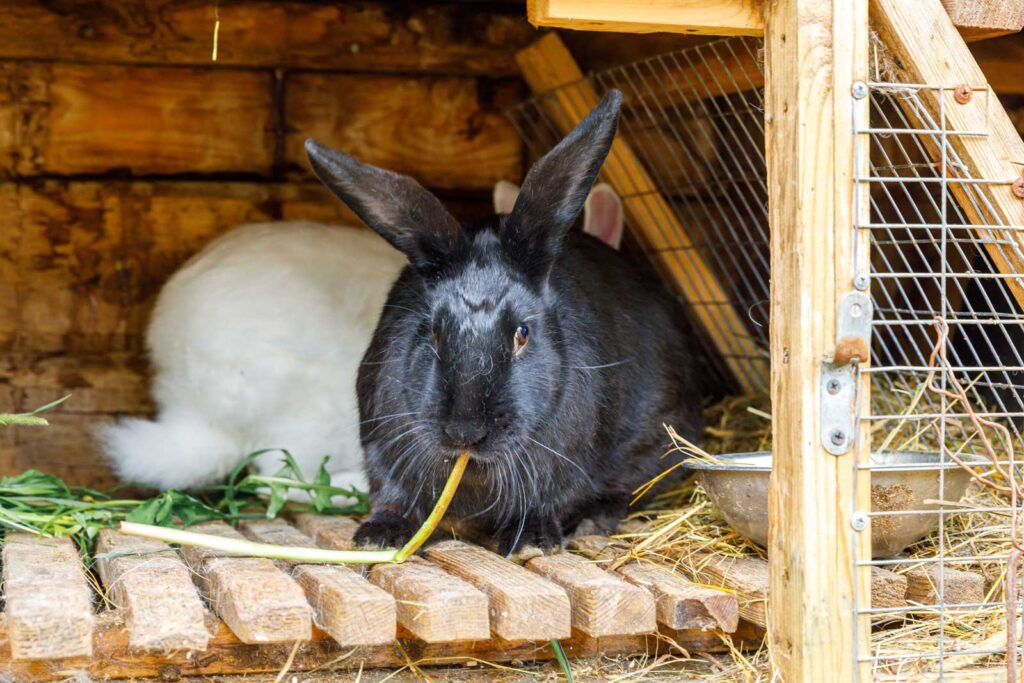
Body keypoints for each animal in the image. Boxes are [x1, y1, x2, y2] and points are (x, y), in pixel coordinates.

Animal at [305, 89, 703, 556]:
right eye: (434, 332)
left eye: (522, 334)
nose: (465, 432)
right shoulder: (382, 452)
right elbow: (392, 496)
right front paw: (377, 536)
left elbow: (549, 500)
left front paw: (533, 540)